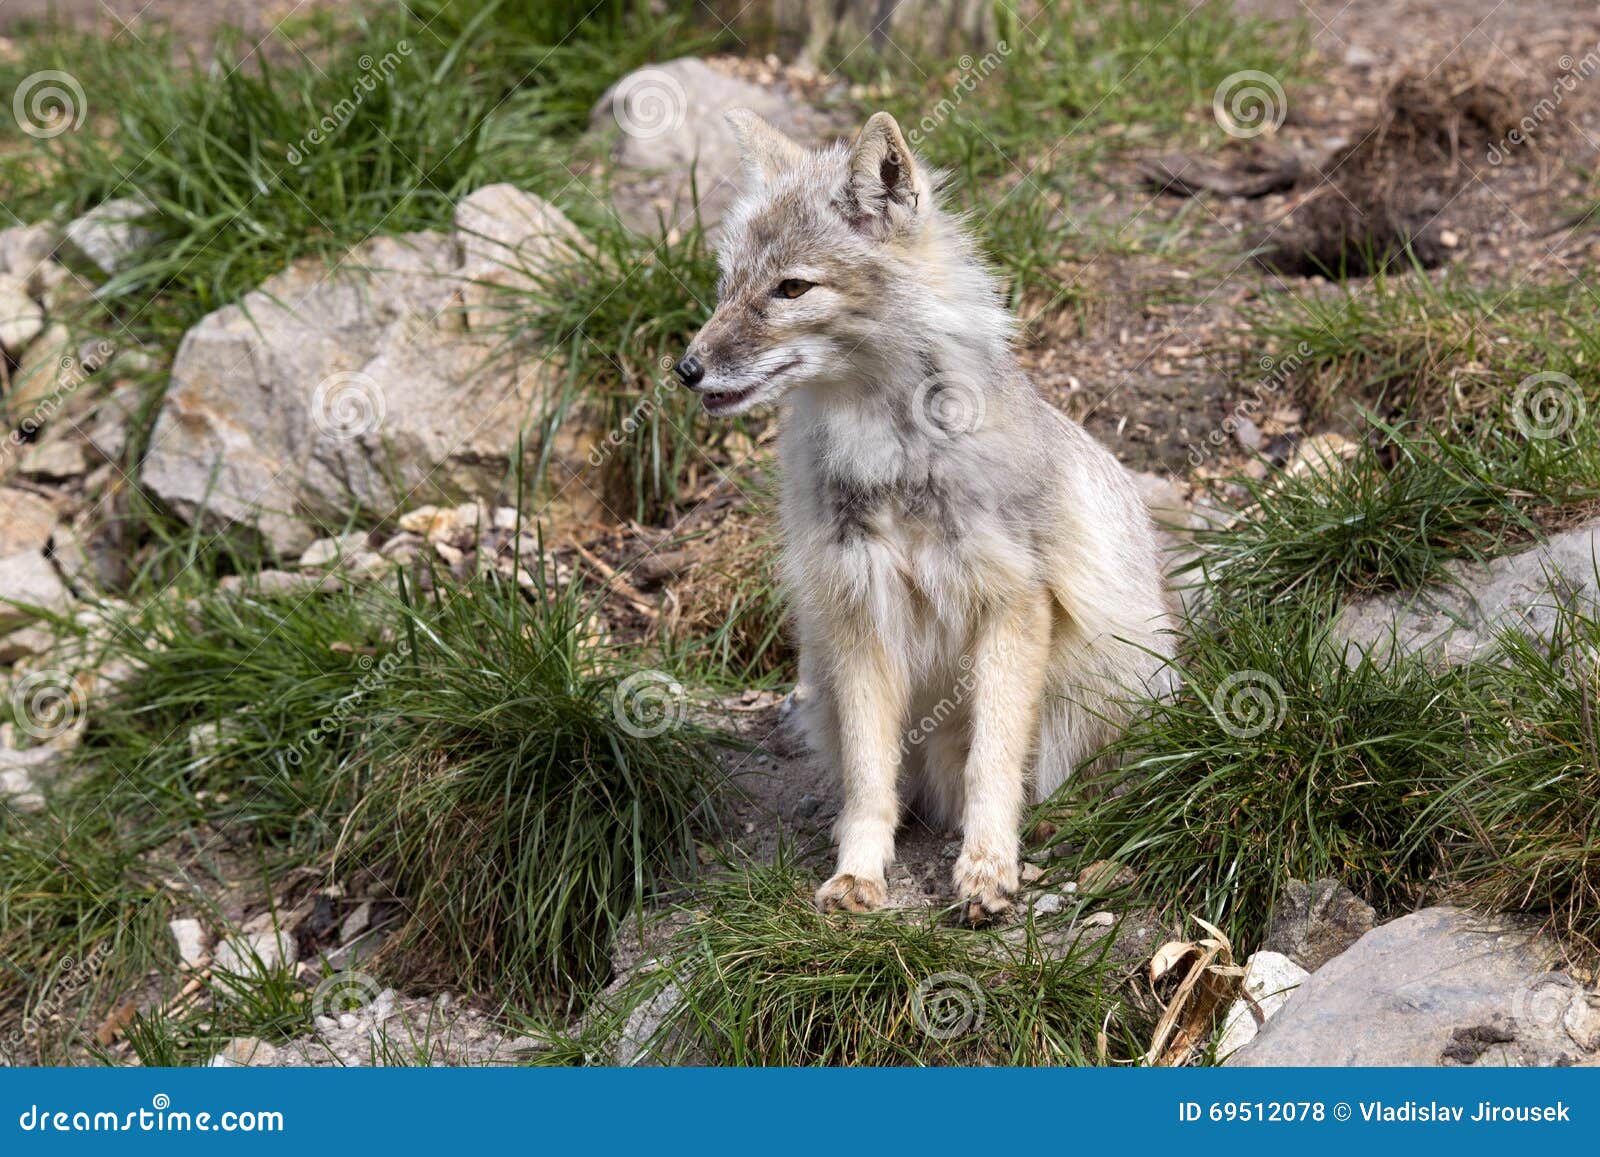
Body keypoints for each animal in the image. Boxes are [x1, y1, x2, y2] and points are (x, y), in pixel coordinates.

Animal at [674, 108, 1175, 922]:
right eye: (727, 287)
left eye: (791, 288)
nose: (686, 369)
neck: (892, 460)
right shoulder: (856, 608)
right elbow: (869, 777)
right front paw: (858, 873)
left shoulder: (1013, 605)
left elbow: (992, 763)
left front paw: (987, 866)